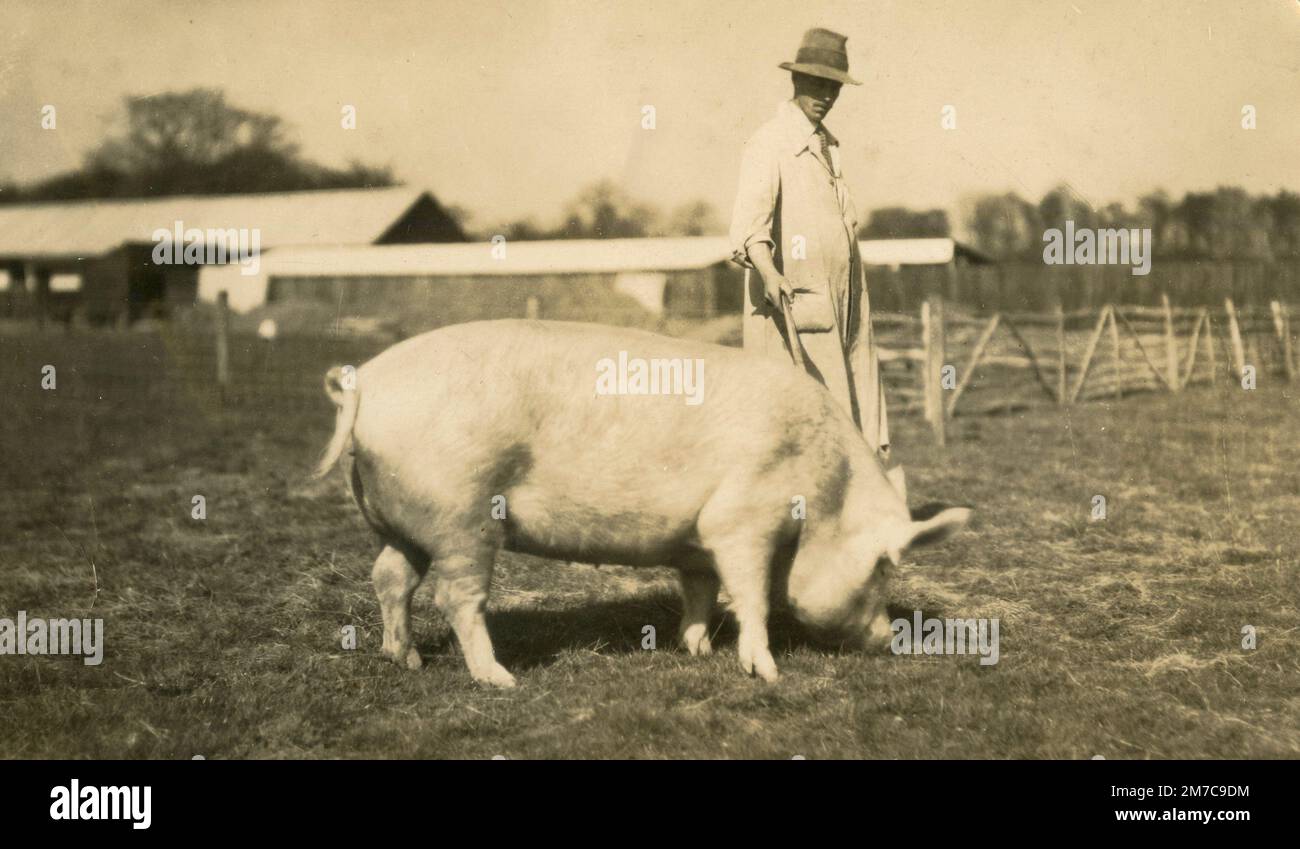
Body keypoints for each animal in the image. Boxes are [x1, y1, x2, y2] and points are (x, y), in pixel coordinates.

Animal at [315, 319, 970, 687]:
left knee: (389, 577)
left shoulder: (697, 538)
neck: (824, 493)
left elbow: (702, 589)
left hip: (401, 521)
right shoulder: (741, 521)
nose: (890, 638)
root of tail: (365, 383)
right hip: (462, 518)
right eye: (884, 567)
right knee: (456, 598)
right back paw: (500, 680)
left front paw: (697, 648)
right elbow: (753, 596)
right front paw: (766, 672)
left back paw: (405, 661)